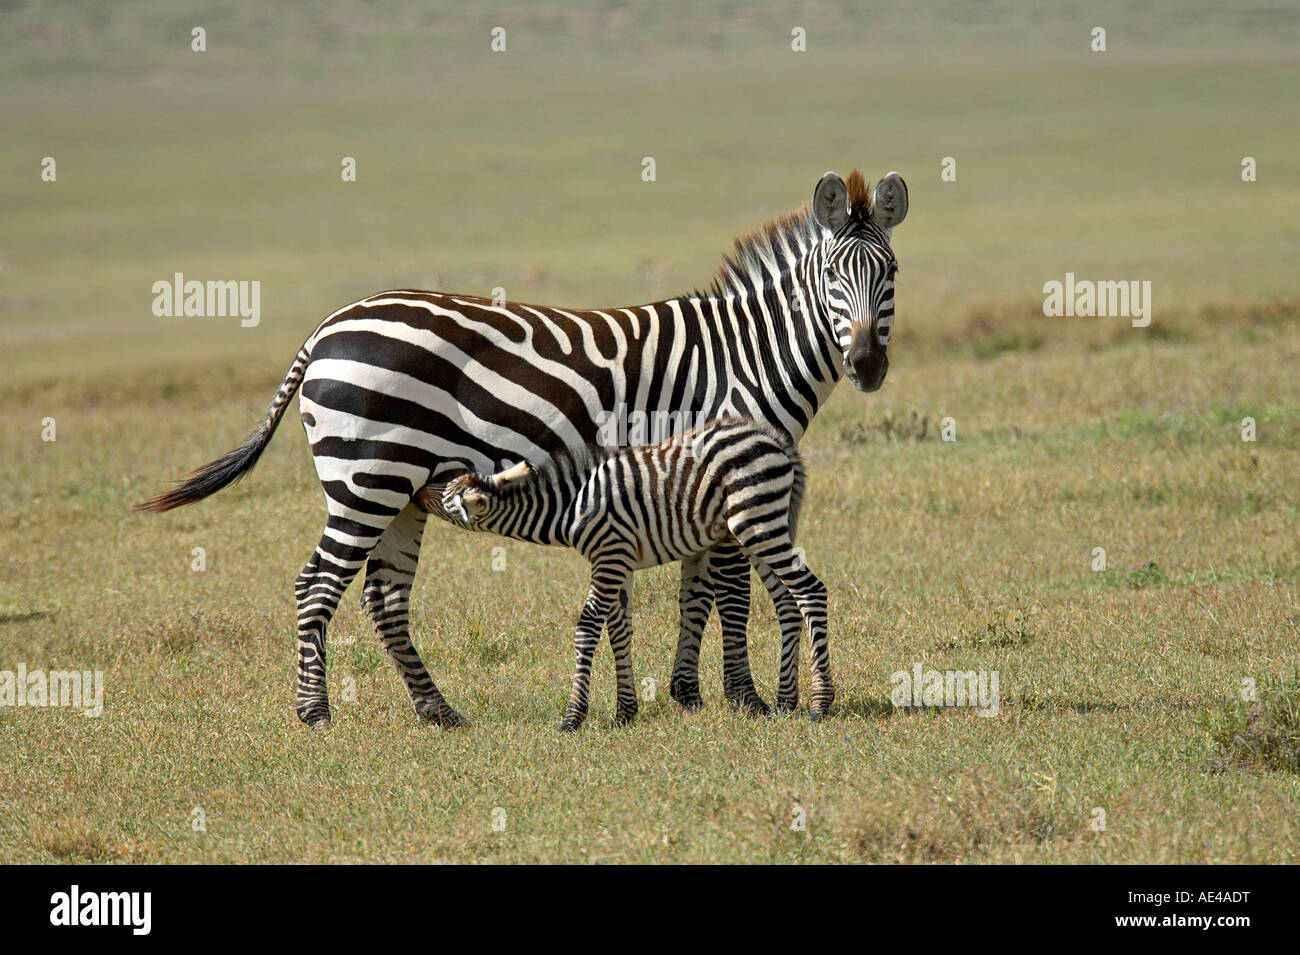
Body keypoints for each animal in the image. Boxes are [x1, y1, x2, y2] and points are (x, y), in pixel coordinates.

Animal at [419, 416, 827, 730]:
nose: (419, 489)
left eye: (446, 498)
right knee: (788, 602)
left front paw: (573, 718)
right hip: (761, 525)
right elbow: (619, 630)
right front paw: (624, 712)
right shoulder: (618, 562)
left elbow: (587, 628)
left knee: (811, 591)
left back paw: (821, 704)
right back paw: (785, 700)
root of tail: (774, 440)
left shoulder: (610, 556)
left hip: (755, 524)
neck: (570, 507)